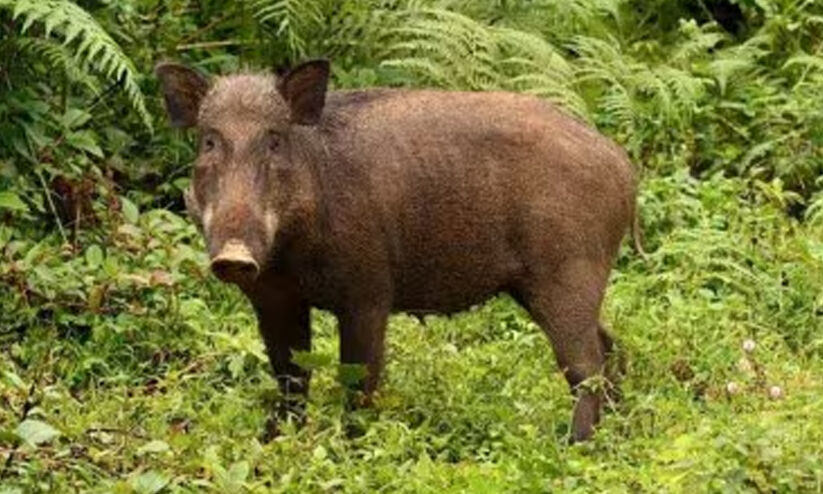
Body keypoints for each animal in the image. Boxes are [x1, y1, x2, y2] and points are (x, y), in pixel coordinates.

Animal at [155, 59, 640, 442]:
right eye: (208, 141)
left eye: (274, 140)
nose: (233, 255)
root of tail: (623, 164)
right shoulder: (273, 299)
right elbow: (291, 376)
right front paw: (277, 441)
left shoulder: (368, 293)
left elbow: (358, 378)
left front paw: (350, 447)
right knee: (608, 346)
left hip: (568, 273)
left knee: (586, 364)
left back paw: (574, 446)